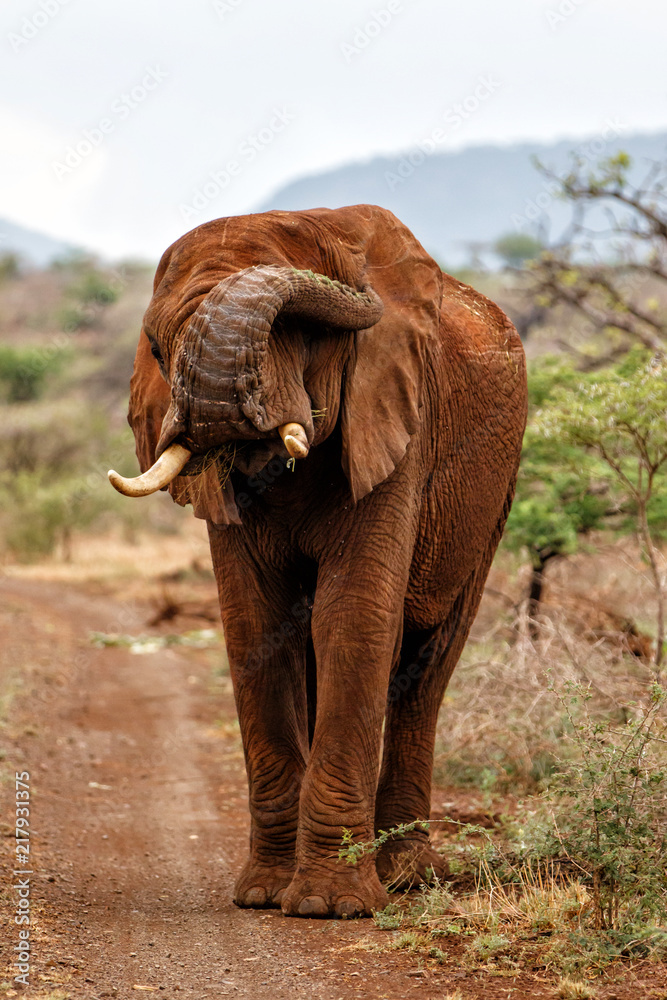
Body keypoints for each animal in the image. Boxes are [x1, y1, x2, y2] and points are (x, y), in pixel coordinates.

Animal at [109, 204, 527, 919]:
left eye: (301, 334)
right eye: (160, 352)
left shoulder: (398, 420)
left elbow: (354, 615)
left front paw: (331, 907)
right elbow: (253, 621)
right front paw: (264, 896)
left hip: (491, 501)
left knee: (427, 662)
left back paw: (405, 876)